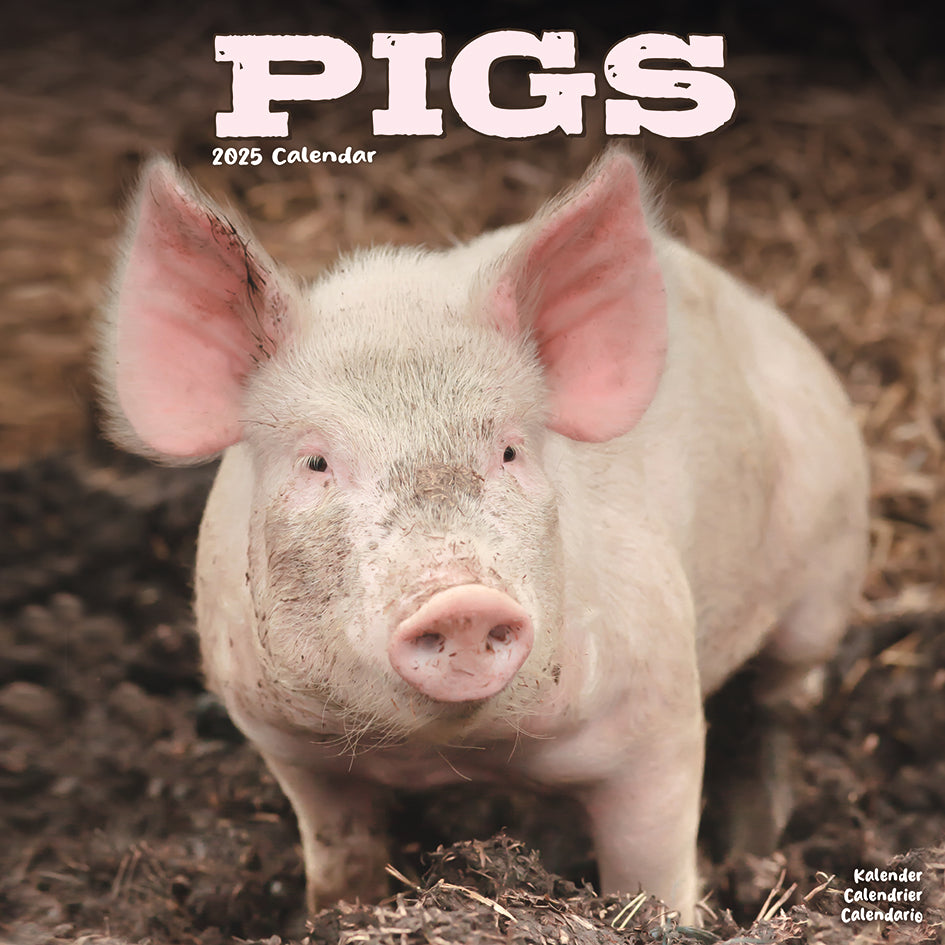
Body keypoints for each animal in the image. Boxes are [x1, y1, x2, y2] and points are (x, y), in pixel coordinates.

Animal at [96, 149, 869, 923]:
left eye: (509, 451)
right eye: (315, 462)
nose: (461, 600)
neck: (453, 752)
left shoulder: (660, 704)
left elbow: (652, 861)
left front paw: (669, 920)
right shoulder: (285, 740)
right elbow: (339, 852)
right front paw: (330, 917)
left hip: (827, 575)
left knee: (778, 703)